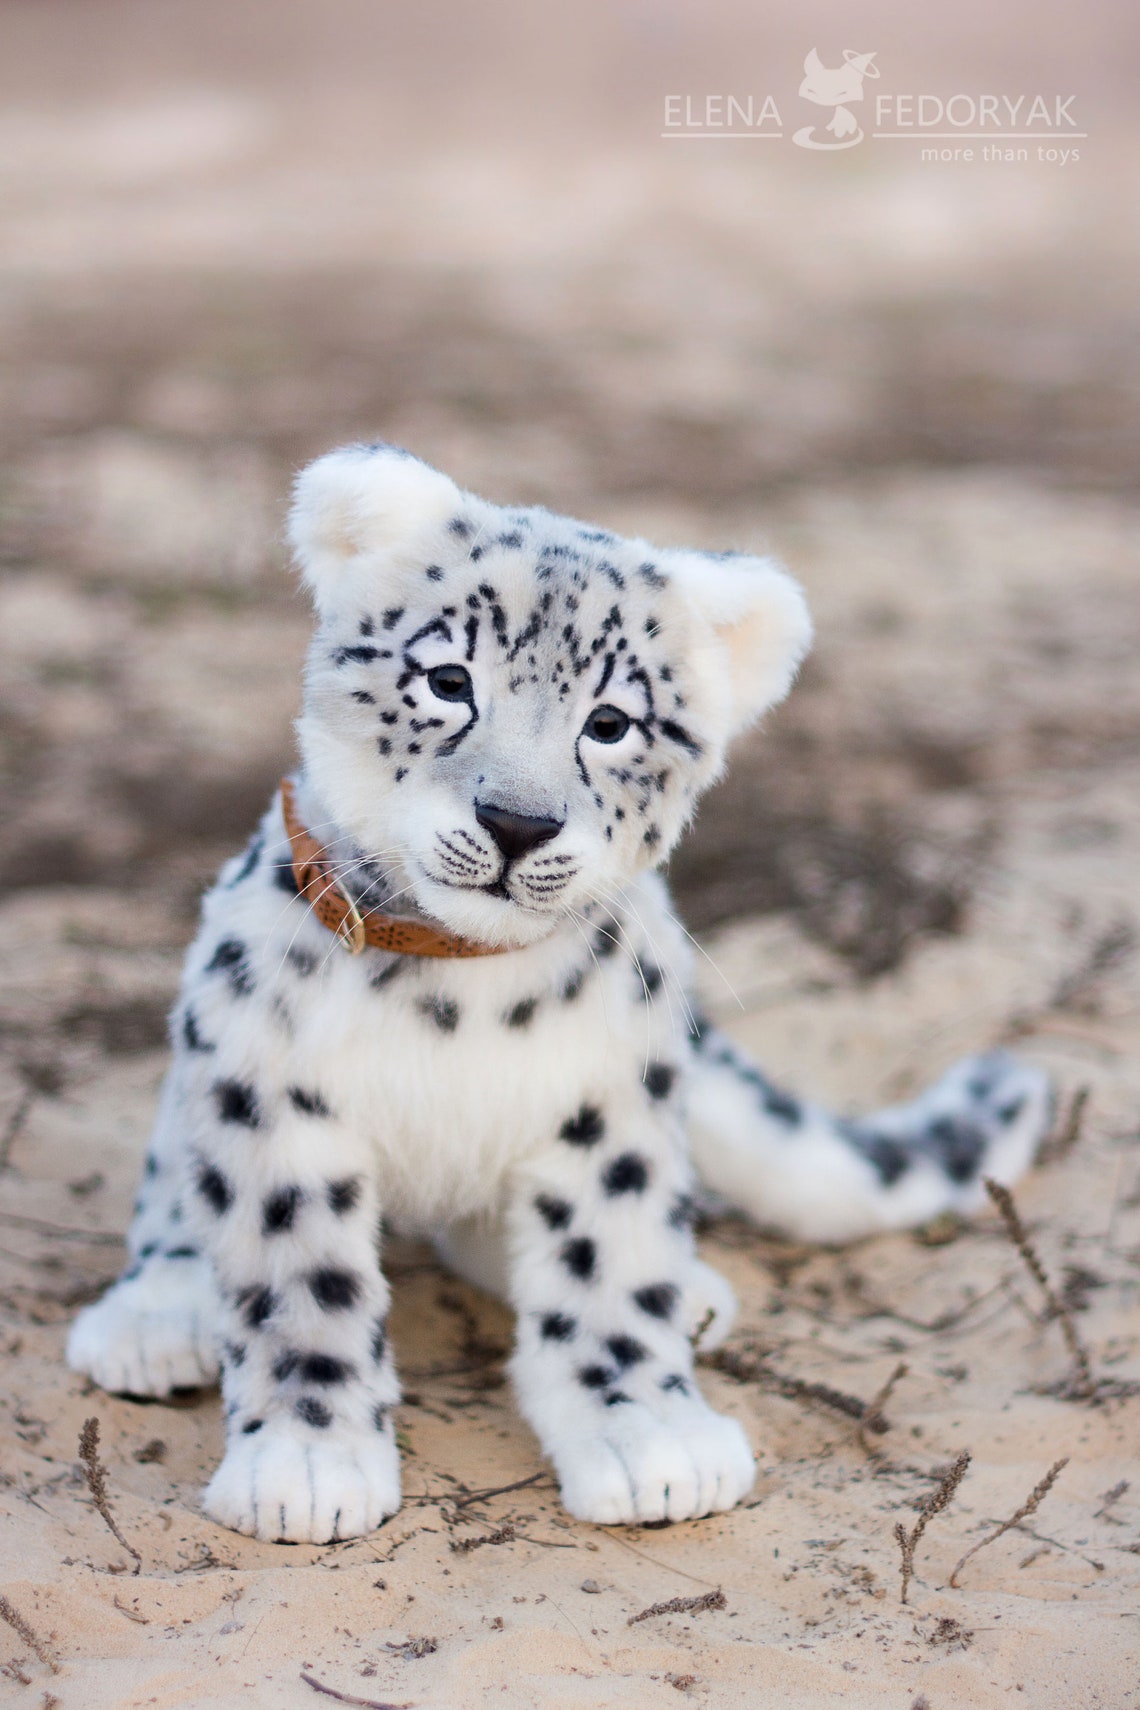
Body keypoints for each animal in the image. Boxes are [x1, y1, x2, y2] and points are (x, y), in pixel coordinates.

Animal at [67, 442, 1050, 1542]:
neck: (456, 994)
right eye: (448, 679)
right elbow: (302, 1284)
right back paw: (155, 1316)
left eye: (612, 723)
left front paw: (652, 1443)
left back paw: (691, 1292)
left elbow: (607, 1274)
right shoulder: (278, 1106)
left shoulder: (608, 1111)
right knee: (170, 1198)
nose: (517, 821)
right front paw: (308, 1464)